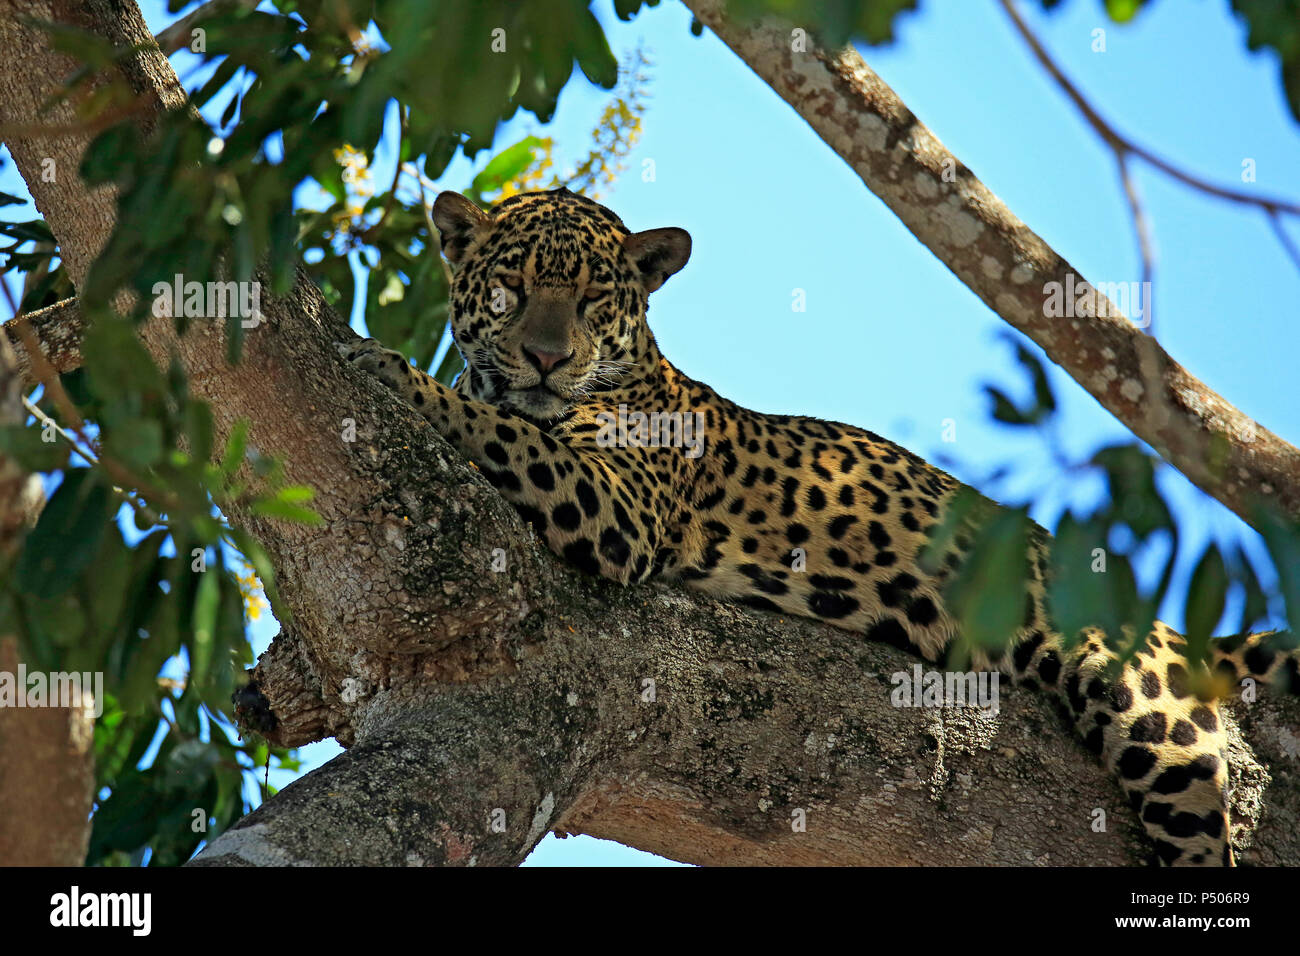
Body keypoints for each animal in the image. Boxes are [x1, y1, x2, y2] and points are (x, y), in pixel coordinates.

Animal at [342, 186, 1299, 866]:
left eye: (587, 301)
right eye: (509, 289)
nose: (546, 358)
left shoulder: (618, 502)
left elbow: (502, 428)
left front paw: (378, 363)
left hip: (1152, 716)